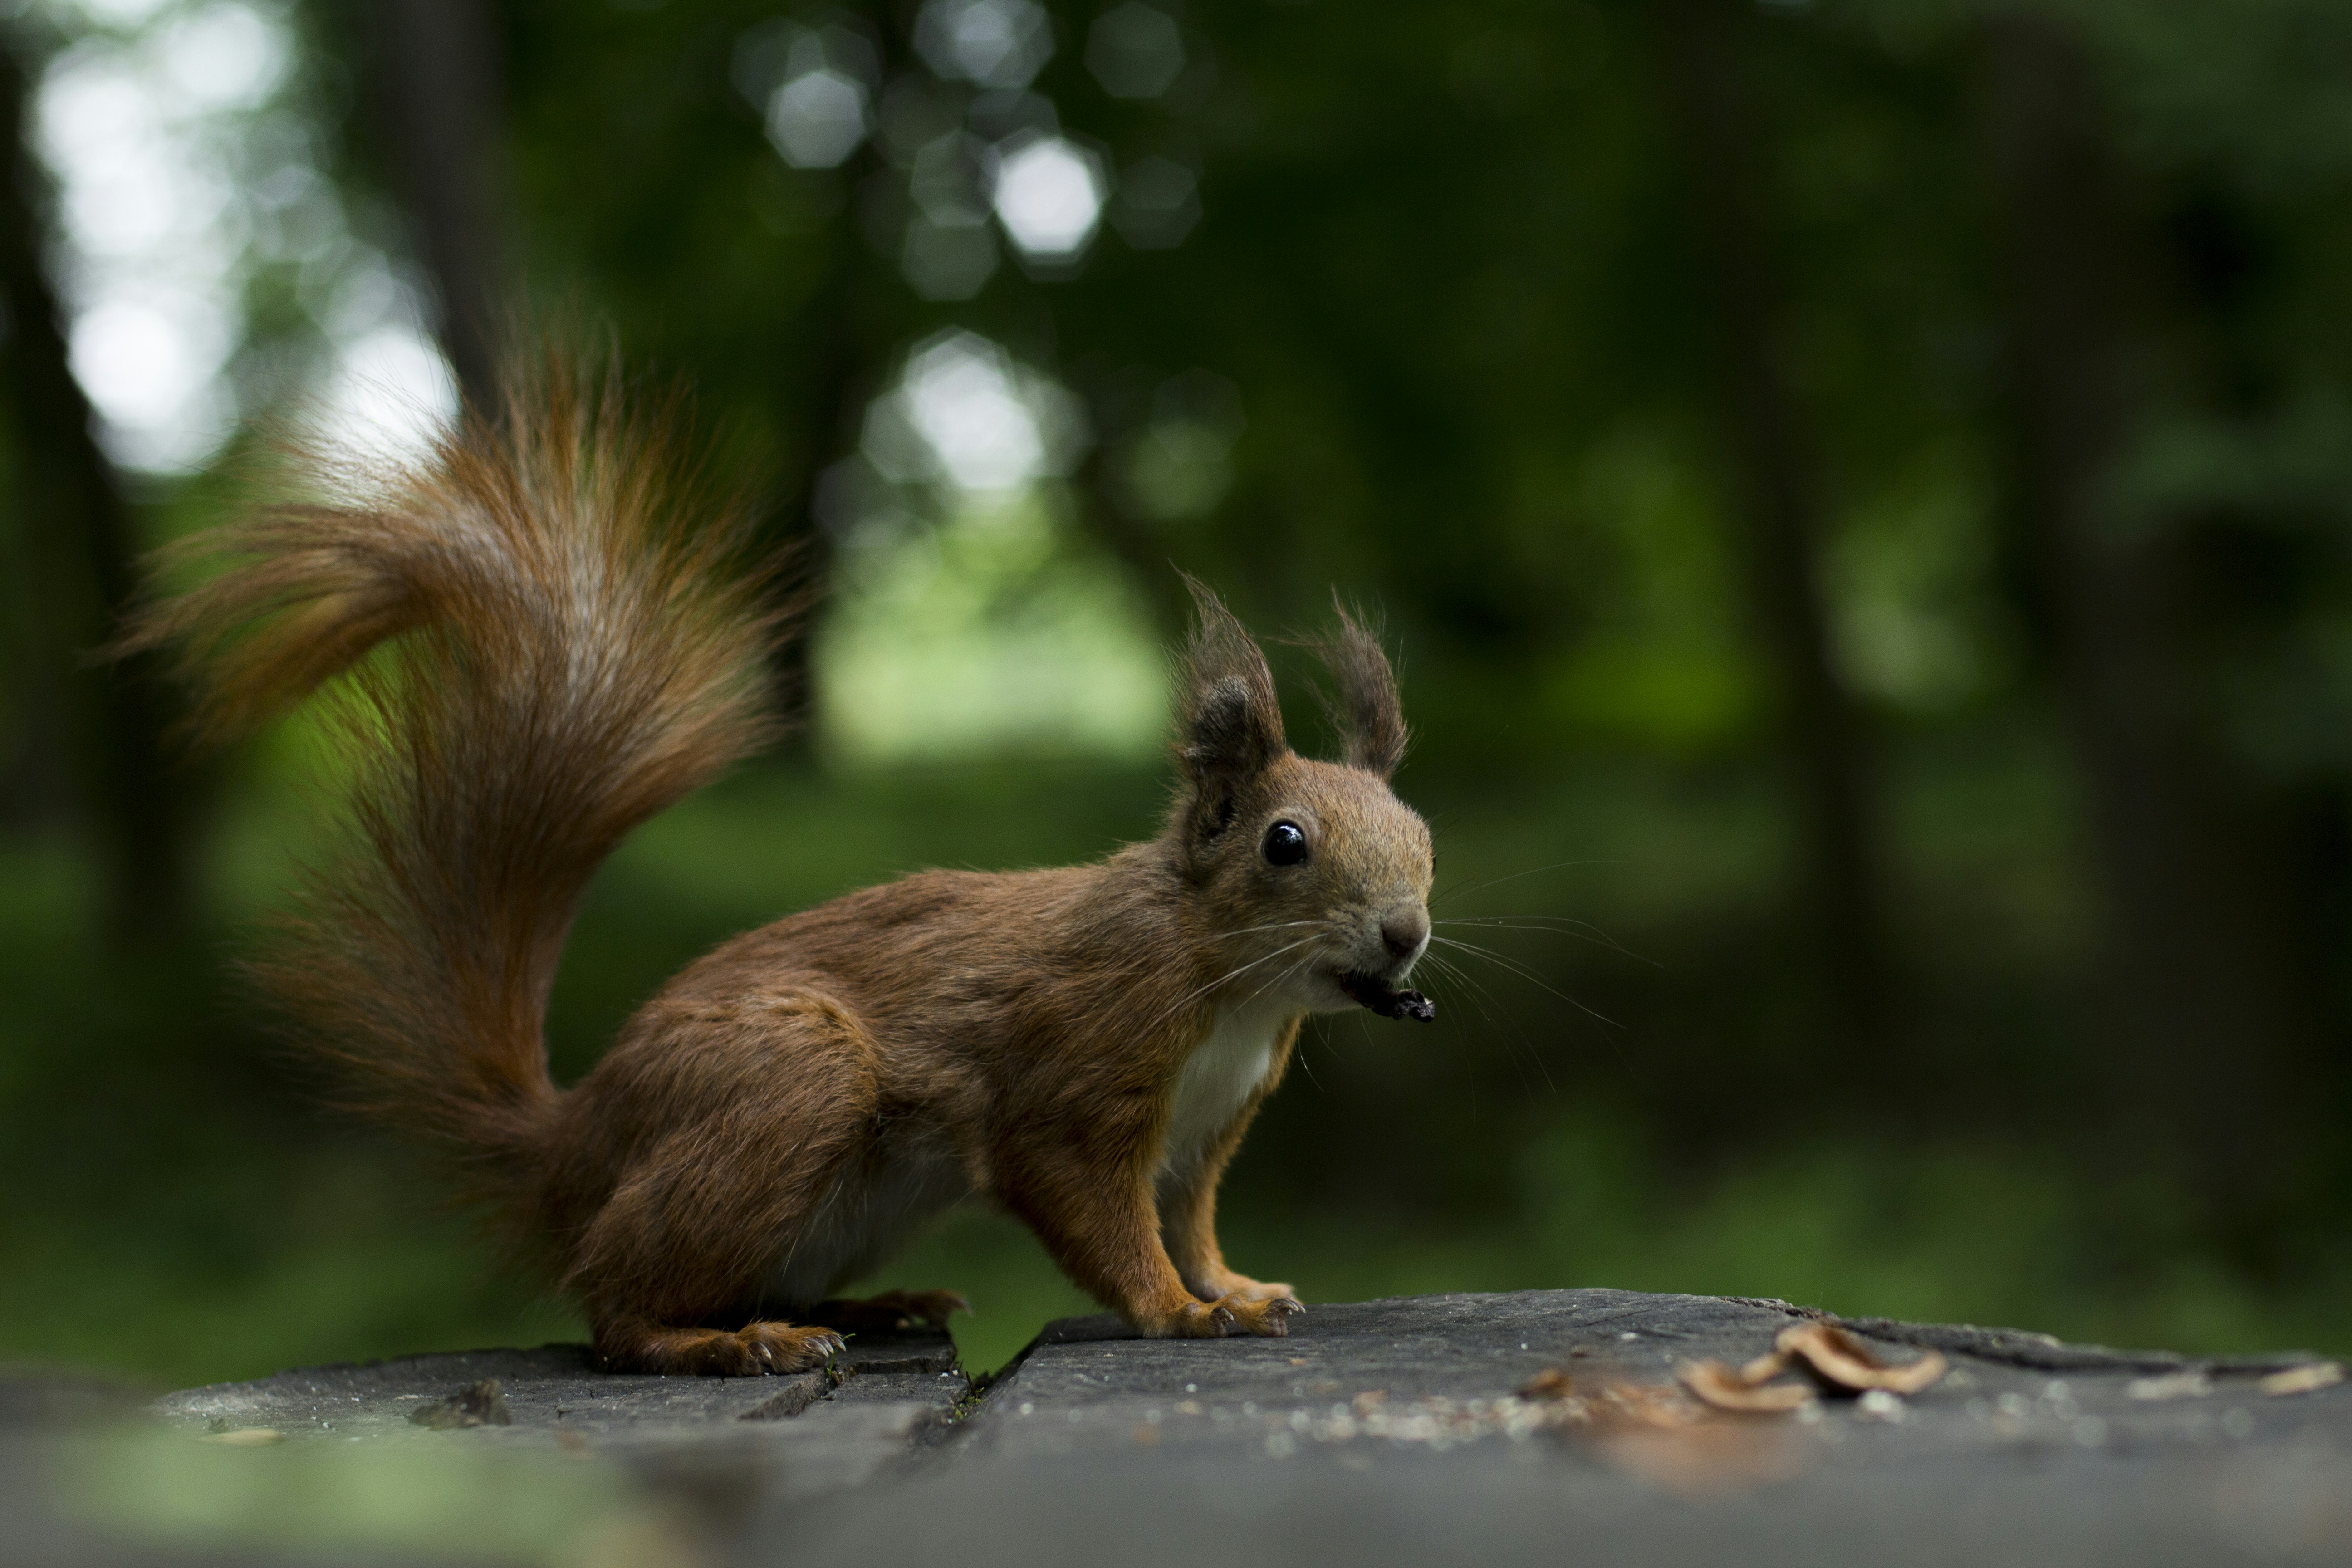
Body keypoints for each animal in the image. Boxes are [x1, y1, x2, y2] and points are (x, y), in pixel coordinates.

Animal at [128, 351, 1437, 1376]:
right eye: (1284, 843)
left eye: (1422, 835)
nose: (1407, 935)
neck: (1228, 982)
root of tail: (573, 1141)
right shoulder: (1077, 1067)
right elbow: (1097, 1214)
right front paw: (1175, 1312)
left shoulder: (1206, 1130)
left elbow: (1191, 1221)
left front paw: (1236, 1289)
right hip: (784, 1084)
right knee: (611, 1305)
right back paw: (727, 1342)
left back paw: (875, 1306)